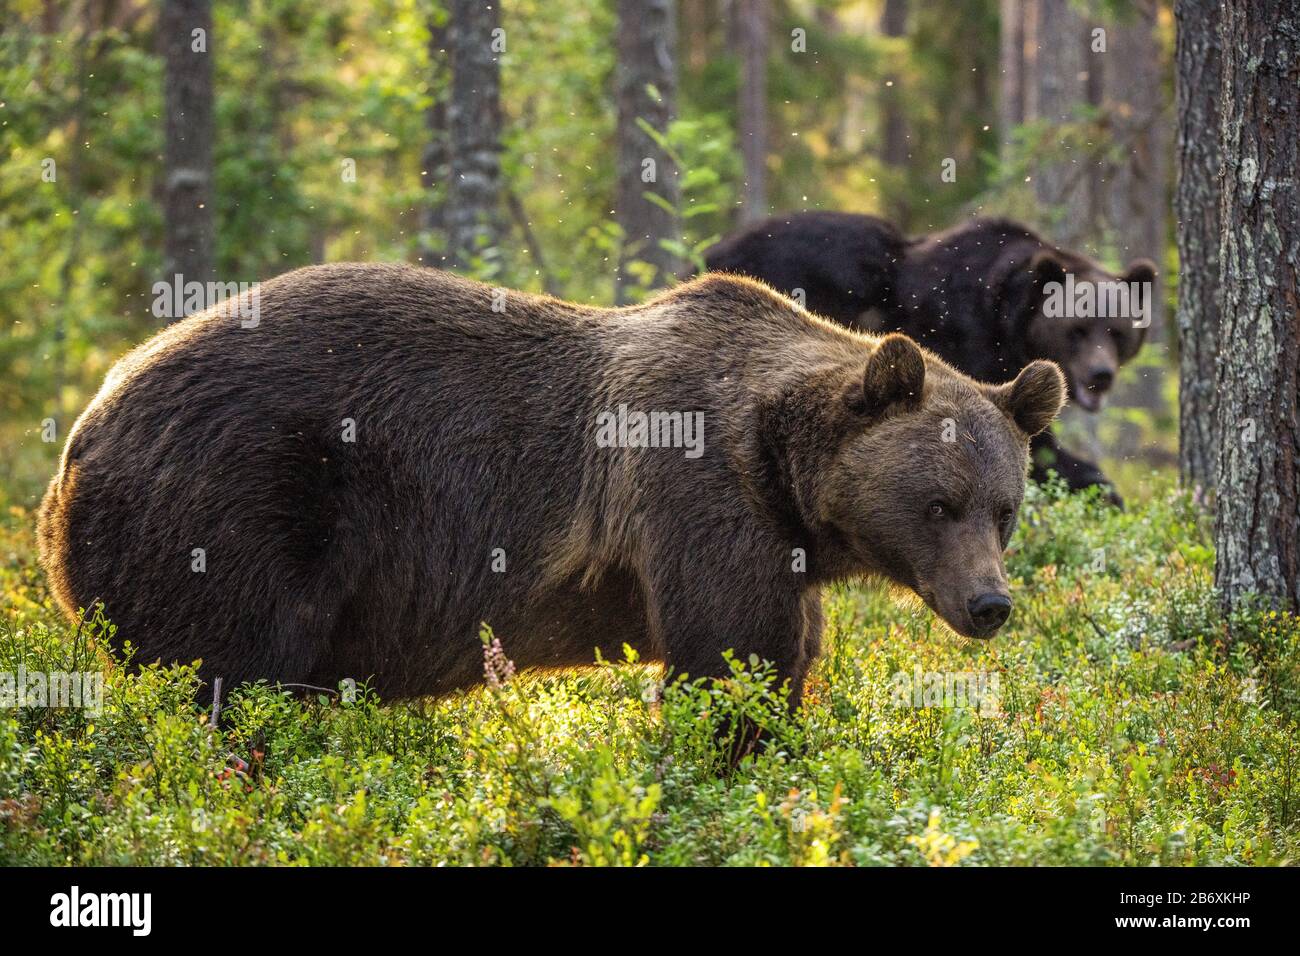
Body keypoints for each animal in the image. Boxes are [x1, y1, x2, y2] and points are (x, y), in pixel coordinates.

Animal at [38, 263, 1064, 709]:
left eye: (1004, 510)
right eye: (939, 503)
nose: (989, 605)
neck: (780, 469)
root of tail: (84, 429)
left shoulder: (781, 550)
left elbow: (781, 660)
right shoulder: (698, 501)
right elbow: (728, 656)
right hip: (236, 501)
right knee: (233, 672)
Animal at [703, 212, 1155, 502]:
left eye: (1117, 331)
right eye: (1077, 329)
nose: (1101, 375)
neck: (1006, 321)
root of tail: (715, 249)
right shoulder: (969, 340)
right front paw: (1100, 487)